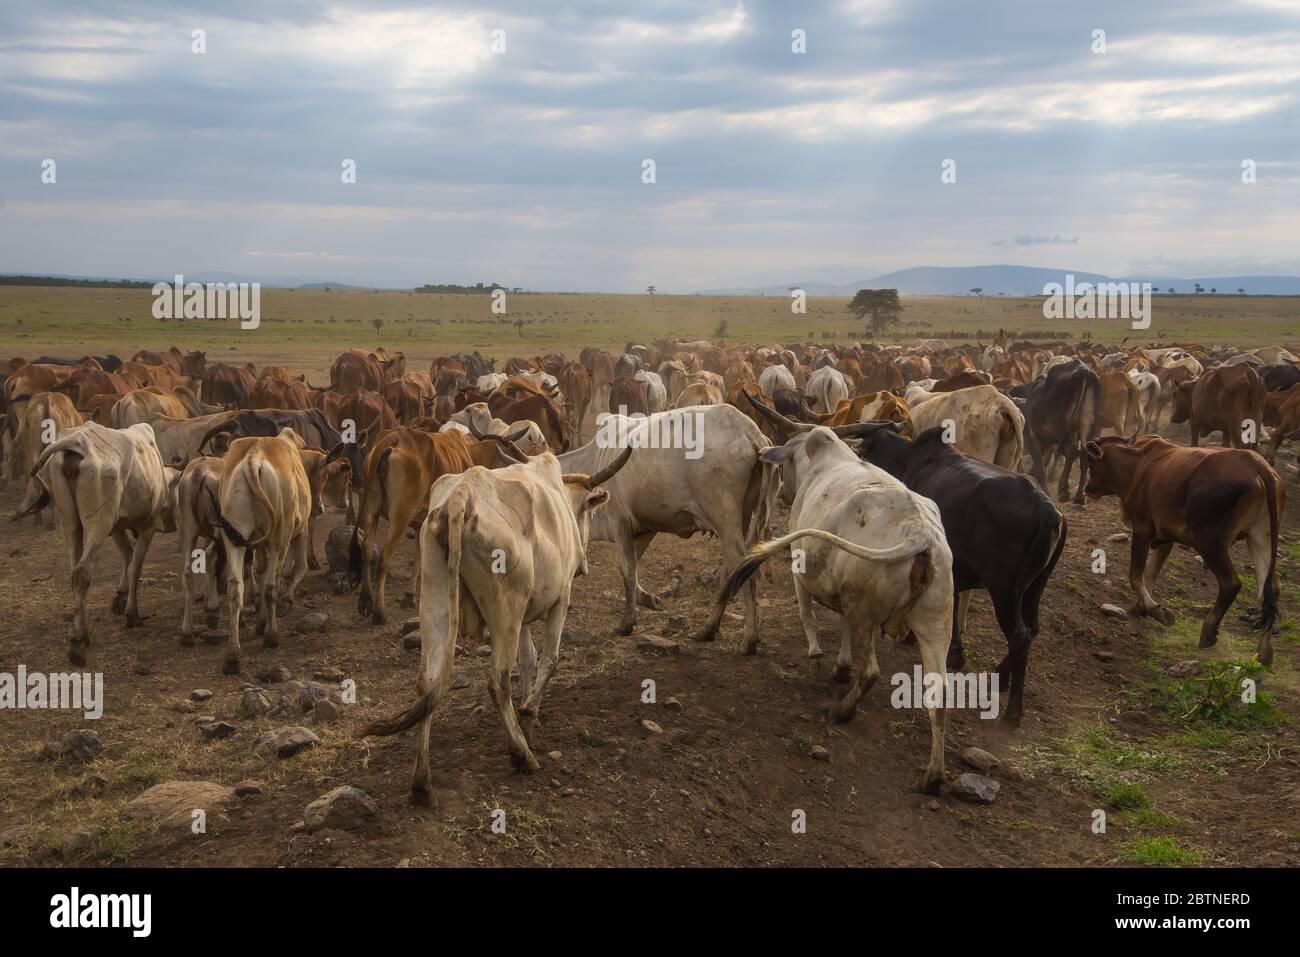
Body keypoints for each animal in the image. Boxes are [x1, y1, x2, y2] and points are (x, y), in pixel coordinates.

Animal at [22, 422, 178, 664]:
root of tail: (75, 442)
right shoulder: (148, 526)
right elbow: (135, 566)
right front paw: (132, 613)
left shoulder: (116, 526)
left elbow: (127, 553)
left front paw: (121, 595)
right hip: (98, 523)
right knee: (82, 572)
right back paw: (78, 642)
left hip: (71, 523)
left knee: (74, 572)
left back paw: (82, 633)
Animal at [359, 446, 631, 800]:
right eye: (589, 513)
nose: (583, 564)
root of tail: (461, 496)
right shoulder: (559, 601)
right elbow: (549, 660)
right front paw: (529, 713)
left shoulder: (525, 616)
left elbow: (528, 662)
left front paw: (530, 719)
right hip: (506, 608)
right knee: (498, 682)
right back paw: (522, 756)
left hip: (437, 601)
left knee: (427, 684)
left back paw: (422, 784)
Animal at [702, 422, 953, 794]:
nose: (784, 491)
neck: (823, 460)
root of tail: (918, 532)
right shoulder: (844, 593)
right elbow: (841, 626)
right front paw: (840, 667)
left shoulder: (801, 572)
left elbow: (808, 617)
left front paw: (817, 658)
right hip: (935, 621)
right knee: (938, 695)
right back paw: (932, 777)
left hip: (867, 611)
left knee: (871, 672)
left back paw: (842, 711)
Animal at [852, 423, 1067, 723]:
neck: (909, 459)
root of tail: (1046, 507)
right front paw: (954, 653)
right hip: (1035, 587)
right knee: (1032, 628)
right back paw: (1000, 676)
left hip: (1004, 590)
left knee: (1020, 635)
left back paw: (1013, 710)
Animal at [1084, 435, 1283, 665]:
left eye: (1092, 464)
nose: (1088, 488)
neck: (1137, 465)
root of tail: (1258, 465)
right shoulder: (1166, 537)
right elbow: (1150, 573)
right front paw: (1141, 608)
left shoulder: (1142, 530)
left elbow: (1135, 575)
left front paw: (1156, 610)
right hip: (1260, 538)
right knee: (1269, 591)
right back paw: (1264, 651)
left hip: (1211, 543)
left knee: (1231, 584)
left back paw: (1208, 632)